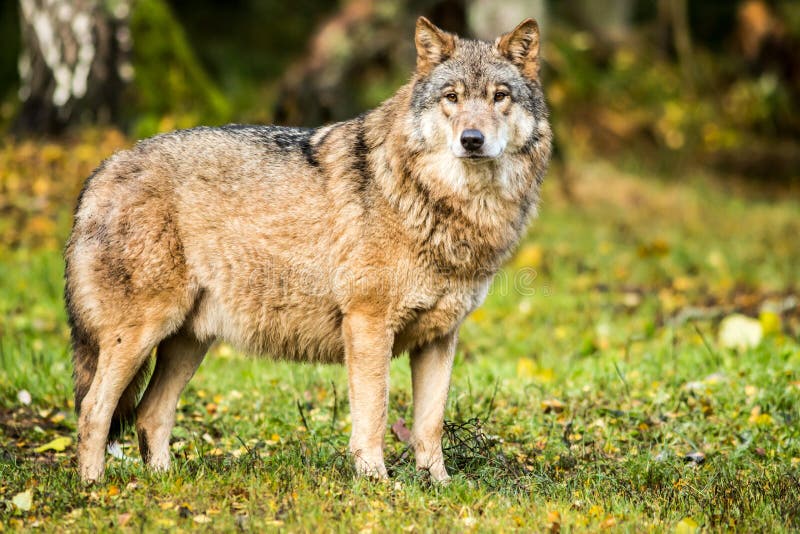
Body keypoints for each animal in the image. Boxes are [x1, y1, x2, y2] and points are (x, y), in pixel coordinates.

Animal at [64, 16, 551, 482]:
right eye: (452, 96)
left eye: (500, 96)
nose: (472, 139)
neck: (445, 205)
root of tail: (101, 172)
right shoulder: (367, 325)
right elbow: (373, 415)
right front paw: (377, 483)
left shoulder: (440, 337)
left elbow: (429, 426)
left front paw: (438, 486)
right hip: (140, 335)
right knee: (93, 412)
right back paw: (97, 490)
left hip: (188, 342)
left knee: (149, 415)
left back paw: (163, 486)